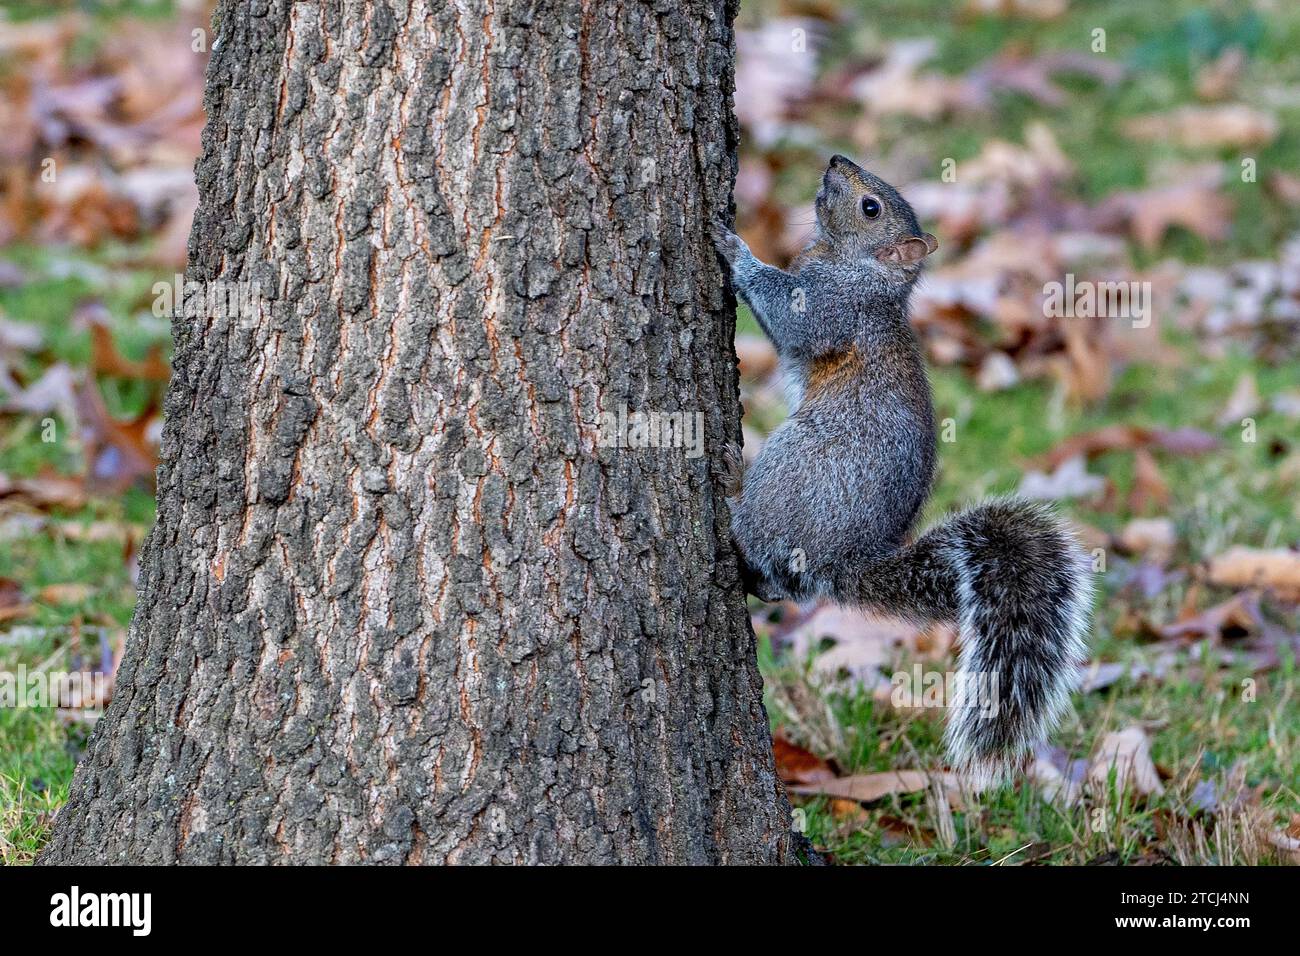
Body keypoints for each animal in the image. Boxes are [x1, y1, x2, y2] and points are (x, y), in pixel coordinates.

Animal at [713, 154, 1093, 783]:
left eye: (872, 208)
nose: (836, 160)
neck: (861, 270)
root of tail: (841, 564)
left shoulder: (832, 308)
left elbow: (789, 314)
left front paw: (735, 248)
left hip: (792, 472)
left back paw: (732, 507)